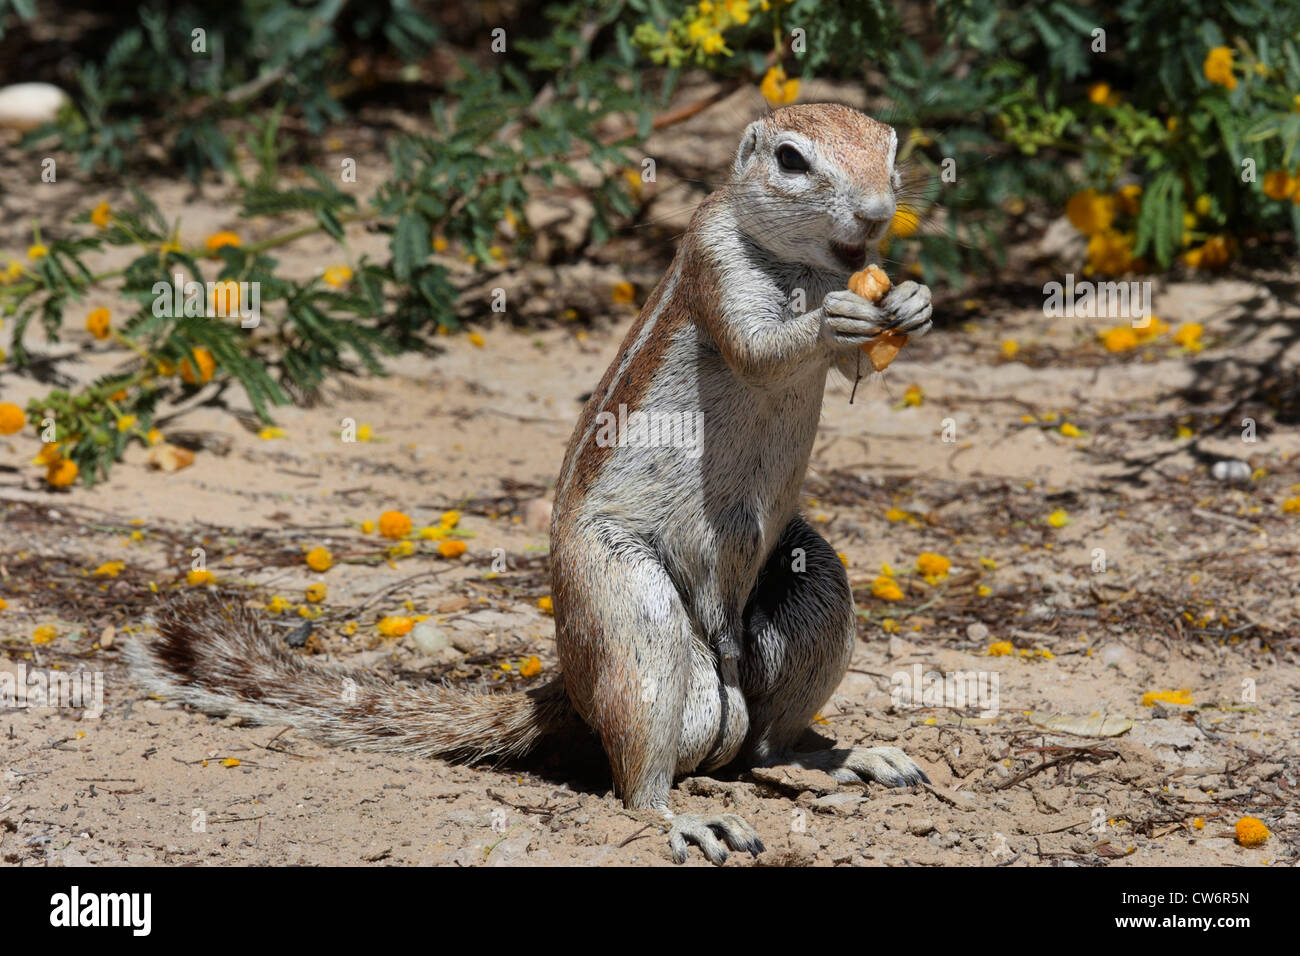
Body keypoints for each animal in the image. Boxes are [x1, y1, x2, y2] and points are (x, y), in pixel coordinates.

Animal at [128, 103, 935, 865]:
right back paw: (682, 818)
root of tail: (573, 695)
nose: (875, 212)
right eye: (792, 160)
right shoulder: (715, 261)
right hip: (622, 599)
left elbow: (861, 361)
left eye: (891, 148)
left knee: (766, 748)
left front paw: (915, 303)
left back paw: (841, 758)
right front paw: (832, 320)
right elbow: (760, 347)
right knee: (639, 773)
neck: (805, 266)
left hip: (812, 582)